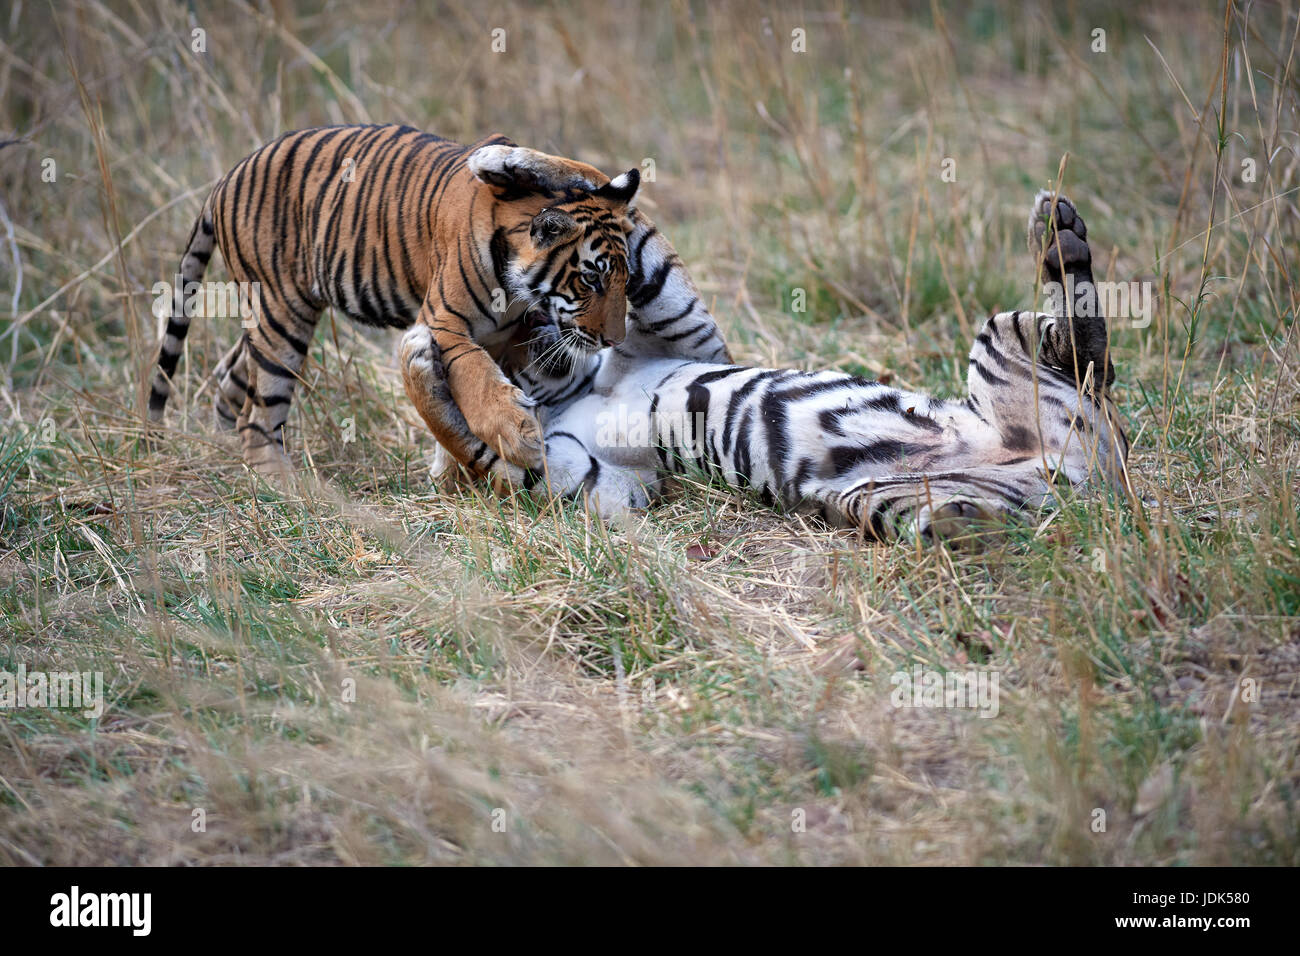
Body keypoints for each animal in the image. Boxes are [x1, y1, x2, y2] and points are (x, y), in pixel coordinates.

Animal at [146, 124, 725, 481]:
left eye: (625, 281)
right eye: (589, 280)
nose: (612, 339)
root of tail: (225, 177)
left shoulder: (511, 334)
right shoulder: (443, 321)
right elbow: (473, 374)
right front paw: (517, 434)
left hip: (271, 315)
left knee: (231, 377)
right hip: (281, 315)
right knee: (260, 416)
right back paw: (290, 485)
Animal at [488, 191, 1129, 541]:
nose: (534, 329)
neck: (570, 396)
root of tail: (1090, 480)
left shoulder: (680, 336)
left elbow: (640, 242)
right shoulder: (615, 478)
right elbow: (570, 472)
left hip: (1004, 336)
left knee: (1088, 349)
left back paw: (1062, 237)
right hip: (882, 496)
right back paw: (960, 524)